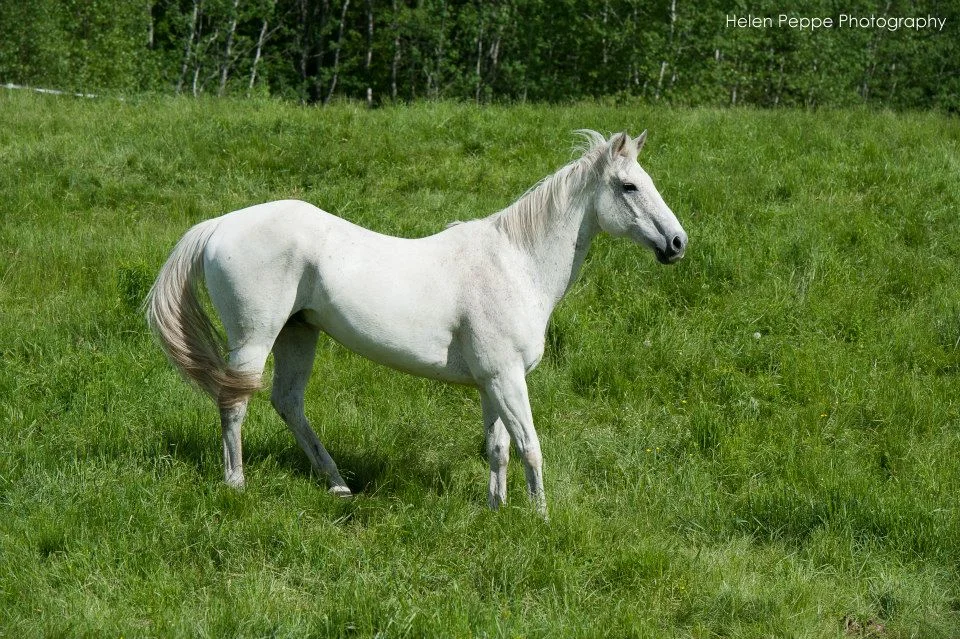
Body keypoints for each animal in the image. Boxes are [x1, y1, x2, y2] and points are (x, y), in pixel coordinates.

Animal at [145, 129, 687, 518]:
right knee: (234, 403)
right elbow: (530, 447)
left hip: (299, 333)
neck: (516, 263)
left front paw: (496, 511)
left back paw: (338, 486)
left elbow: (498, 448)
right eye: (629, 186)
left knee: (288, 403)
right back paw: (236, 485)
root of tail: (219, 225)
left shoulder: (492, 381)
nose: (678, 243)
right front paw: (541, 520)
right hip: (254, 339)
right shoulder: (507, 378)